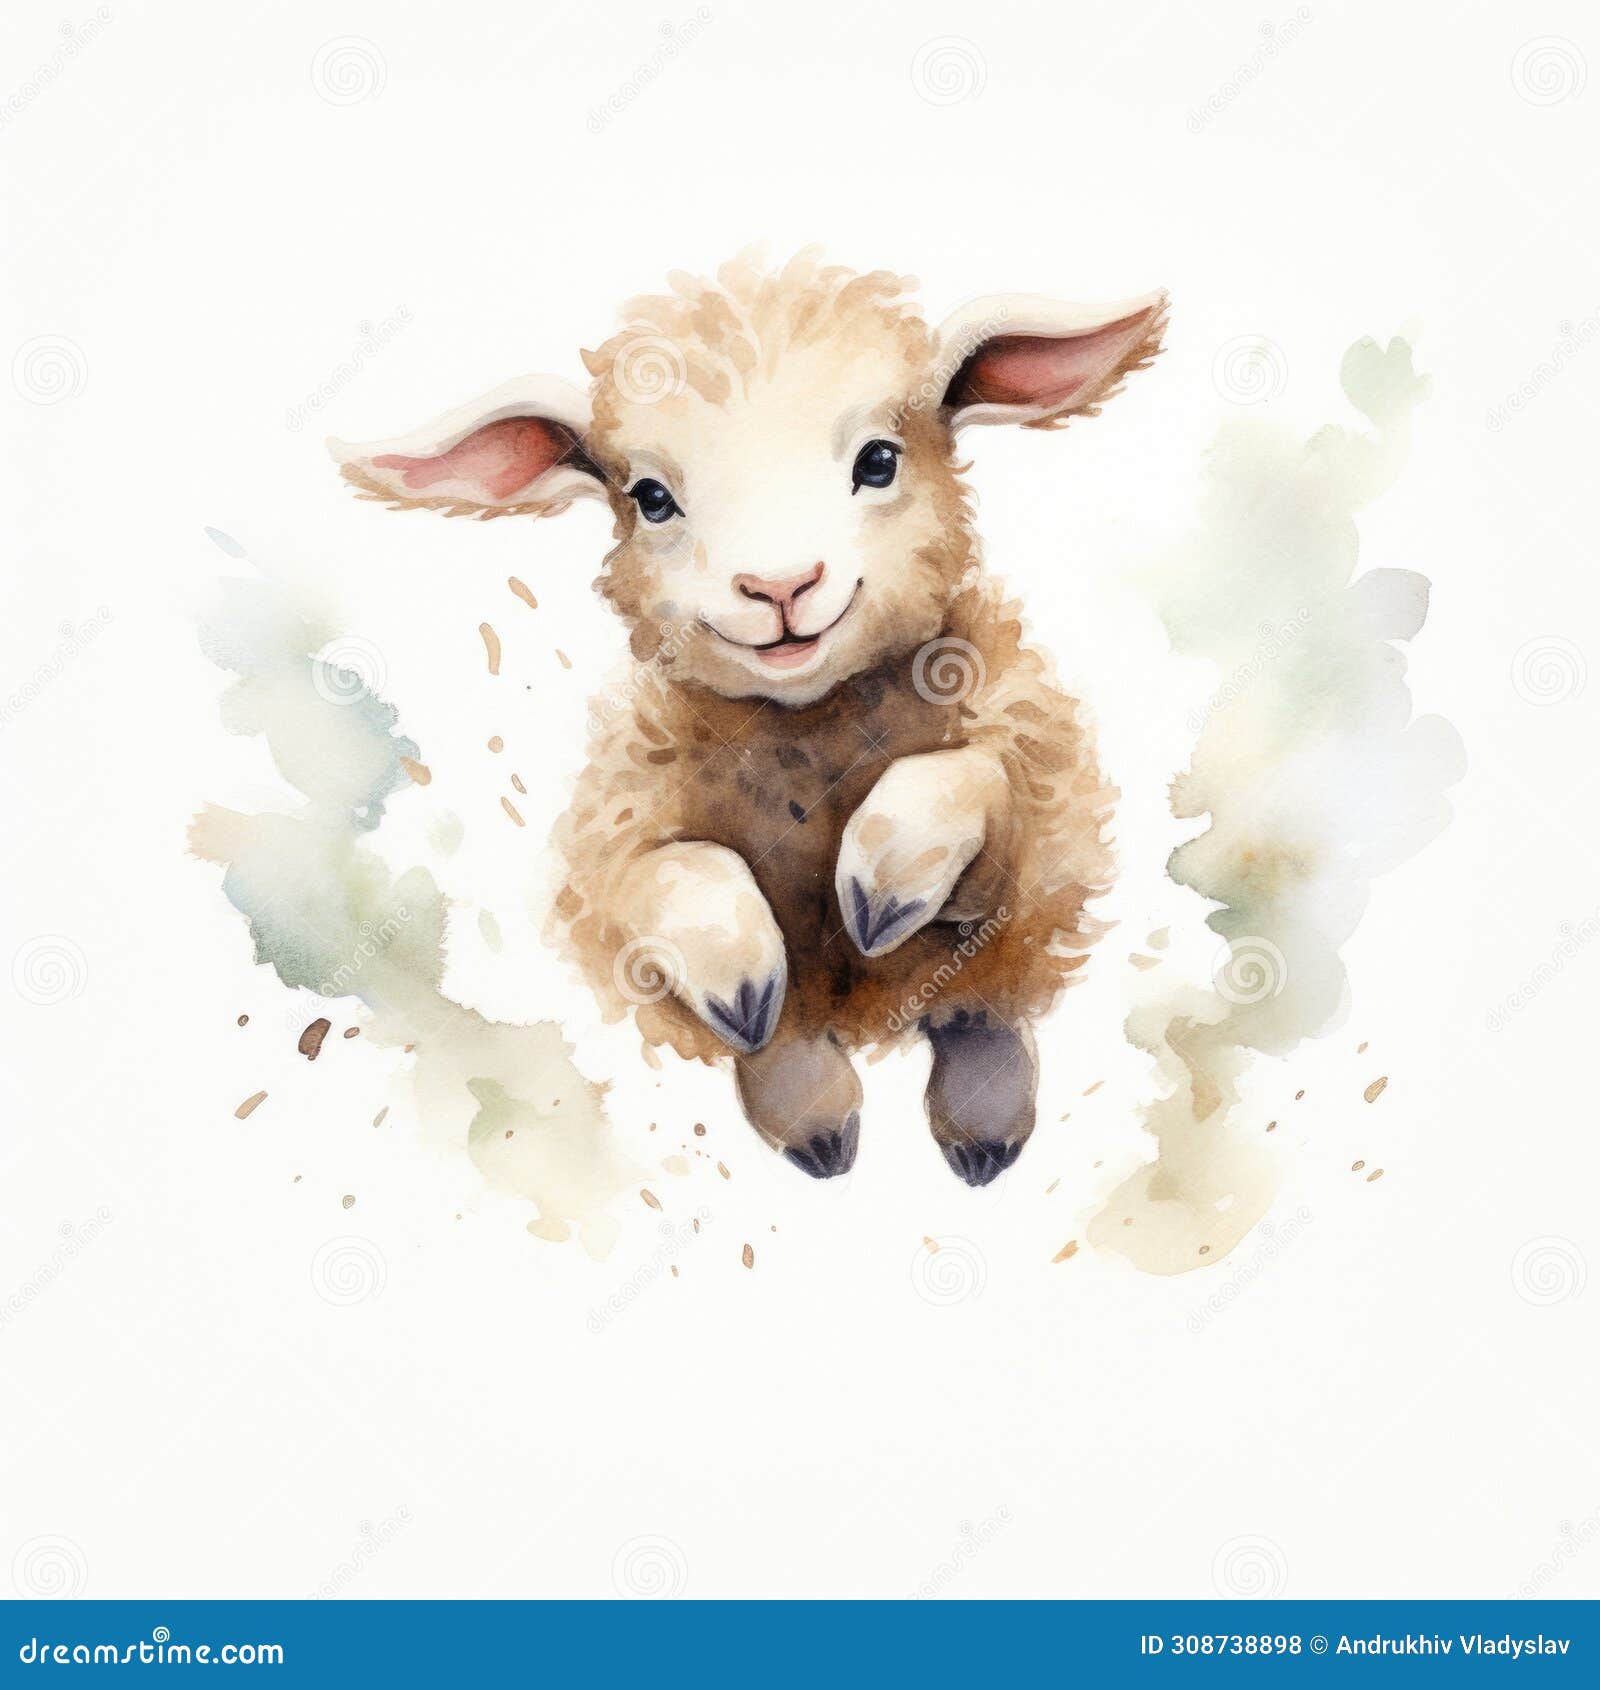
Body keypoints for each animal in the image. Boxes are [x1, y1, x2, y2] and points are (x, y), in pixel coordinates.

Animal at [331, 251, 1167, 1185]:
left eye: (880, 459)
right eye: (652, 498)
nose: (779, 586)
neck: (807, 730)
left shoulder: (1033, 803)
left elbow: (967, 778)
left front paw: (882, 886)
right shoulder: (609, 849)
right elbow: (674, 873)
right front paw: (740, 975)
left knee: (977, 1008)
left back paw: (983, 1128)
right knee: (787, 1038)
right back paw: (816, 1122)